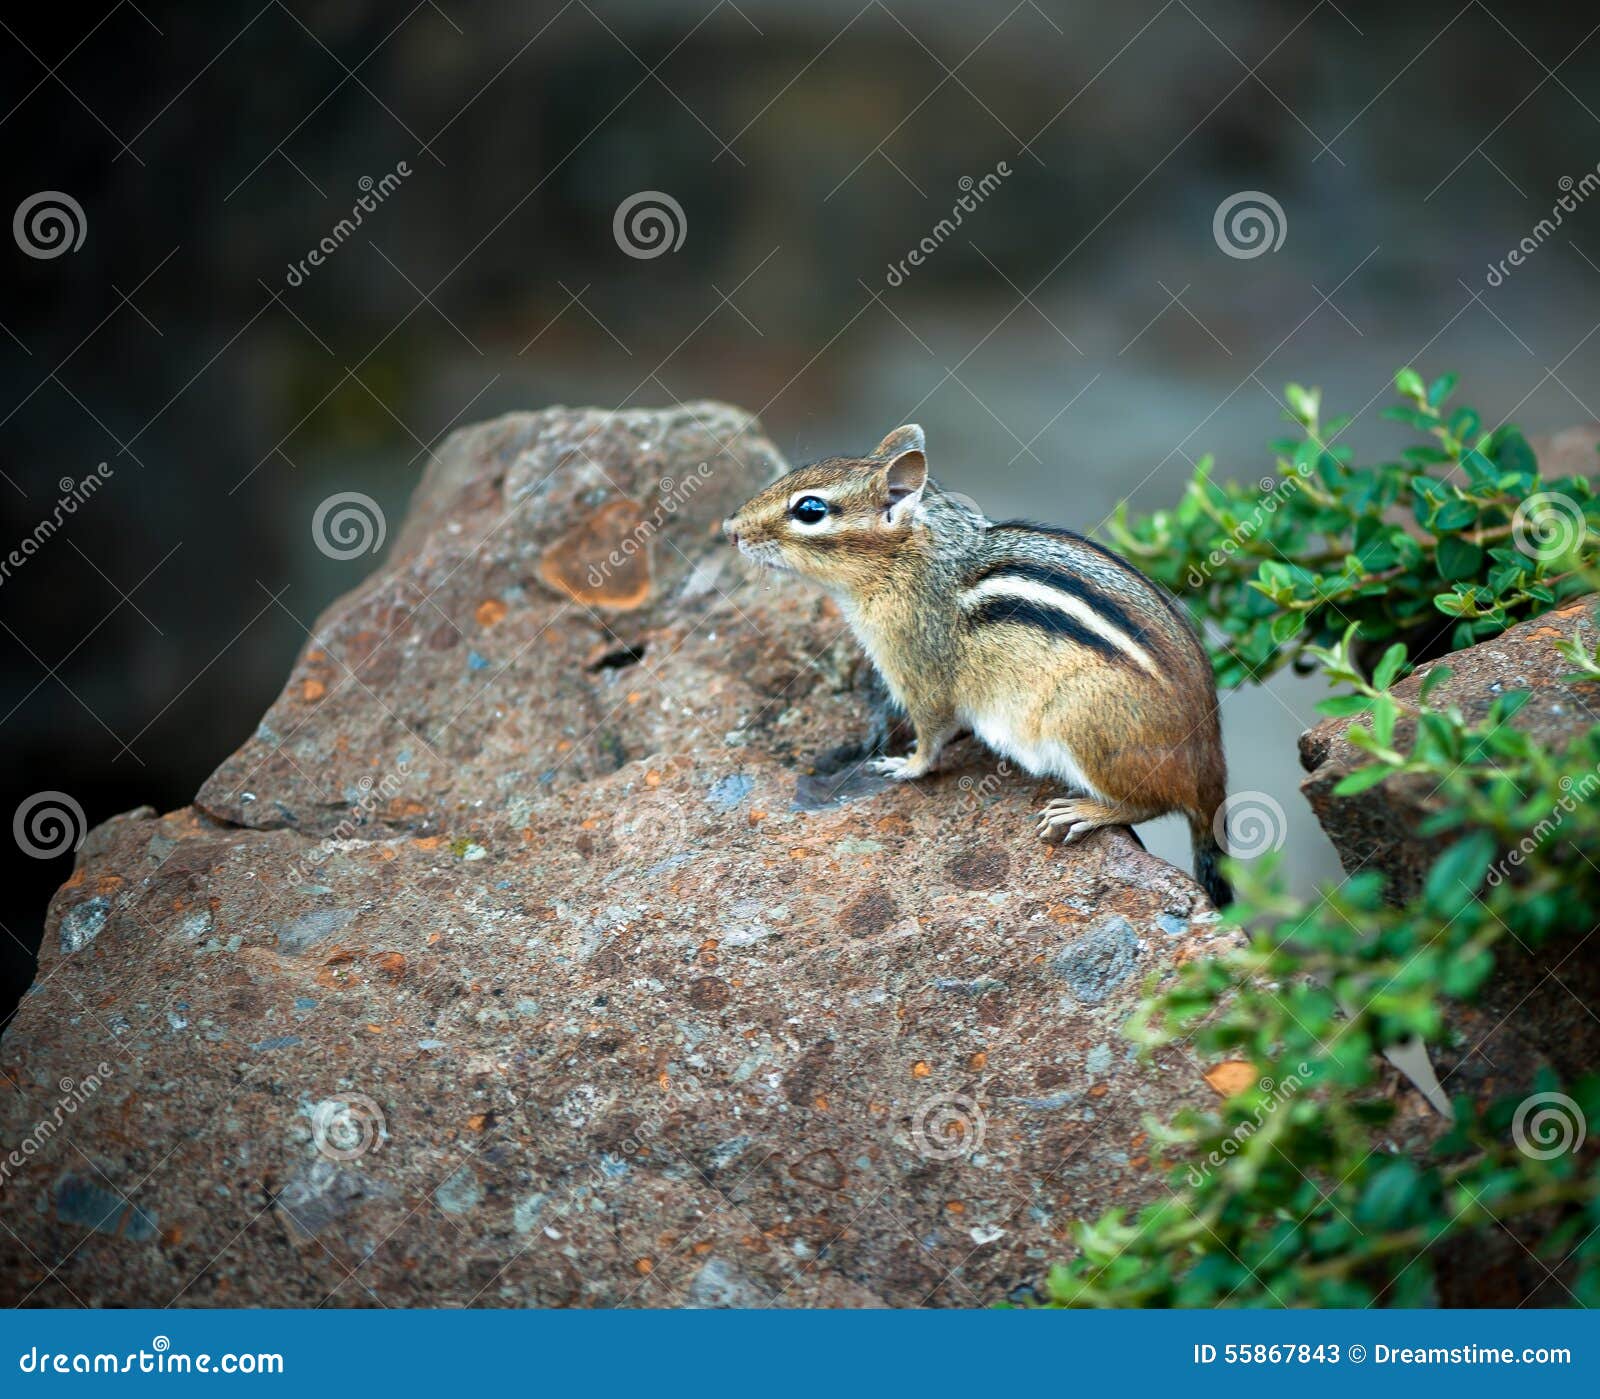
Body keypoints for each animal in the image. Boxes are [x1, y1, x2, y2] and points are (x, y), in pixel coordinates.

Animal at [722, 423, 1232, 907]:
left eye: (810, 510)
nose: (730, 529)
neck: (913, 561)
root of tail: (1212, 775)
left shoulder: (921, 677)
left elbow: (930, 737)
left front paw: (904, 766)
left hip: (1082, 725)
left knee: (1149, 803)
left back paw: (1084, 812)